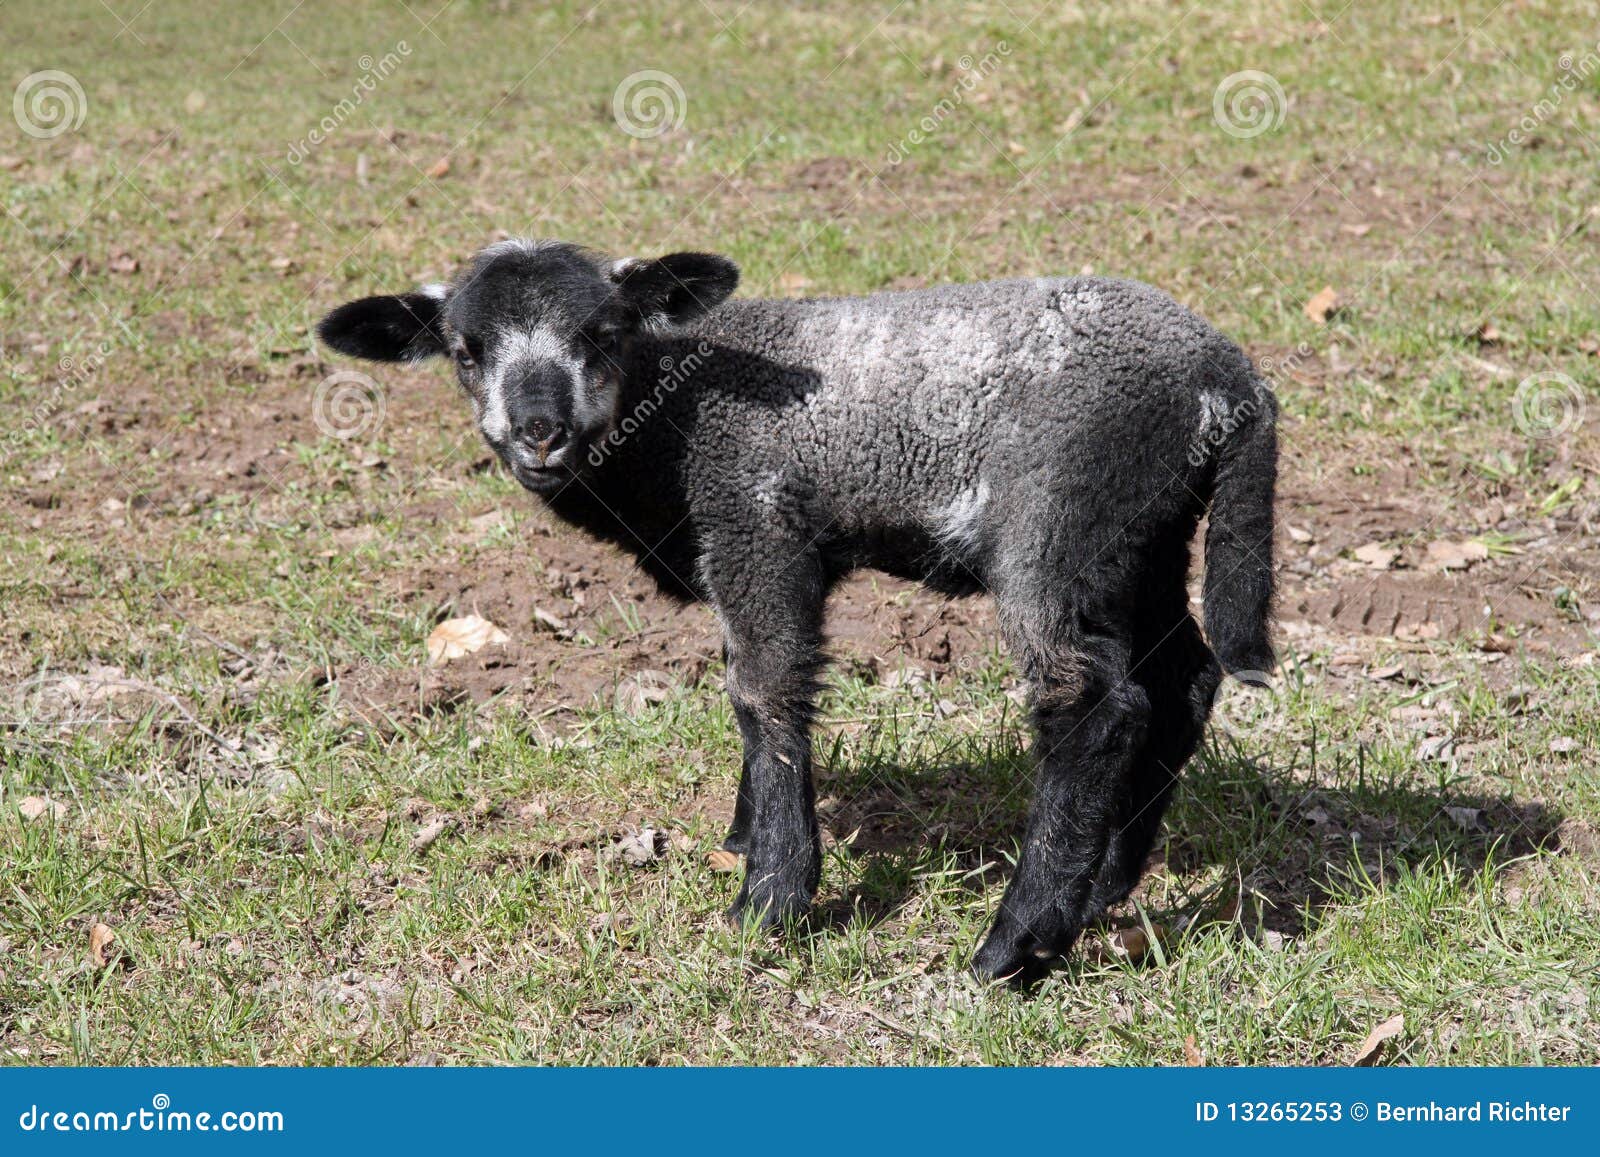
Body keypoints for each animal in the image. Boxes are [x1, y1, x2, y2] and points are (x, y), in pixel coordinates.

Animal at [317, 239, 1277, 984]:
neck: (673, 410)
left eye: (603, 333)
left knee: (1092, 707)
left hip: (1060, 519)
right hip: (1145, 532)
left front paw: (771, 898)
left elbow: (765, 688)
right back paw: (1110, 878)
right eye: (464, 349)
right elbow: (746, 682)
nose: (539, 435)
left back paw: (1015, 945)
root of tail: (1228, 381)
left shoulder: (755, 517)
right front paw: (744, 836)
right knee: (1182, 677)